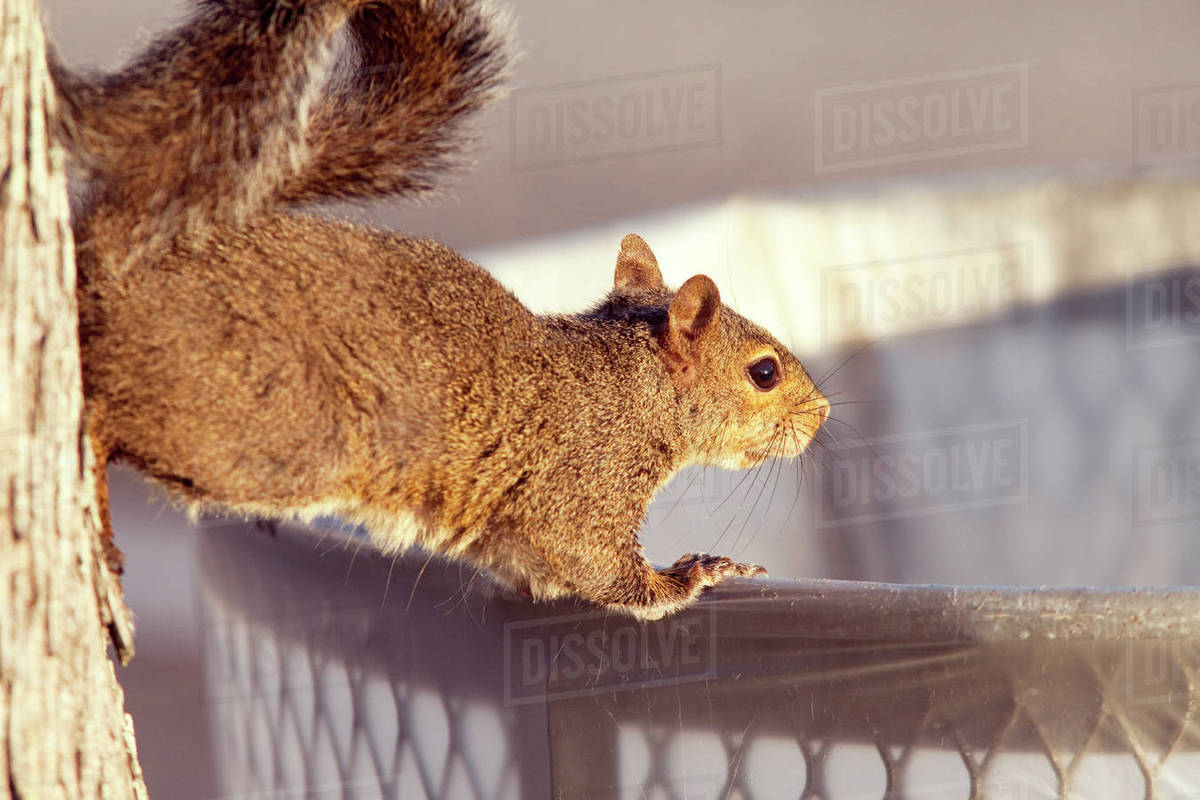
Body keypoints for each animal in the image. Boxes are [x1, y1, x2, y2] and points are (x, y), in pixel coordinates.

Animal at [50, 0, 830, 623]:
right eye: (763, 372)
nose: (823, 414)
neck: (630, 388)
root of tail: (114, 257)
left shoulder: (517, 539)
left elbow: (543, 578)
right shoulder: (583, 485)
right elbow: (605, 570)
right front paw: (697, 574)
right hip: (266, 429)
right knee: (108, 416)